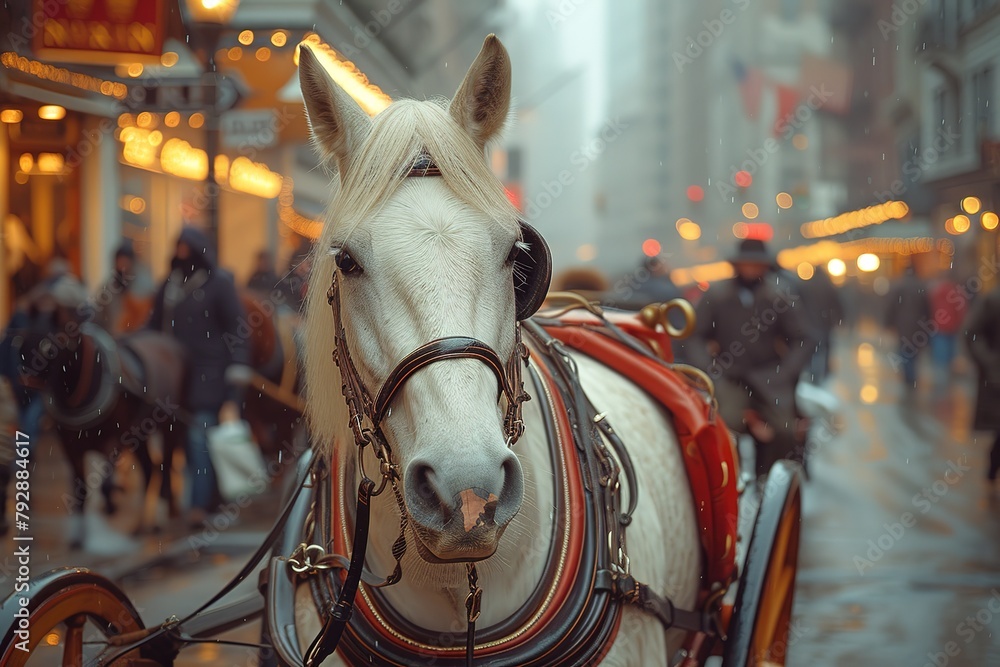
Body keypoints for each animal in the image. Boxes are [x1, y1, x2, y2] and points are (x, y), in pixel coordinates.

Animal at [18, 276, 187, 549]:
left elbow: (107, 481)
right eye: (20, 342)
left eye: (49, 348)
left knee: (165, 464)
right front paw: (78, 536)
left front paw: (111, 503)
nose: (24, 388)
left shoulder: (115, 440)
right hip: (140, 433)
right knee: (150, 469)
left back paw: (161, 514)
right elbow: (80, 488)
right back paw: (142, 524)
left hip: (170, 426)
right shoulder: (70, 446)